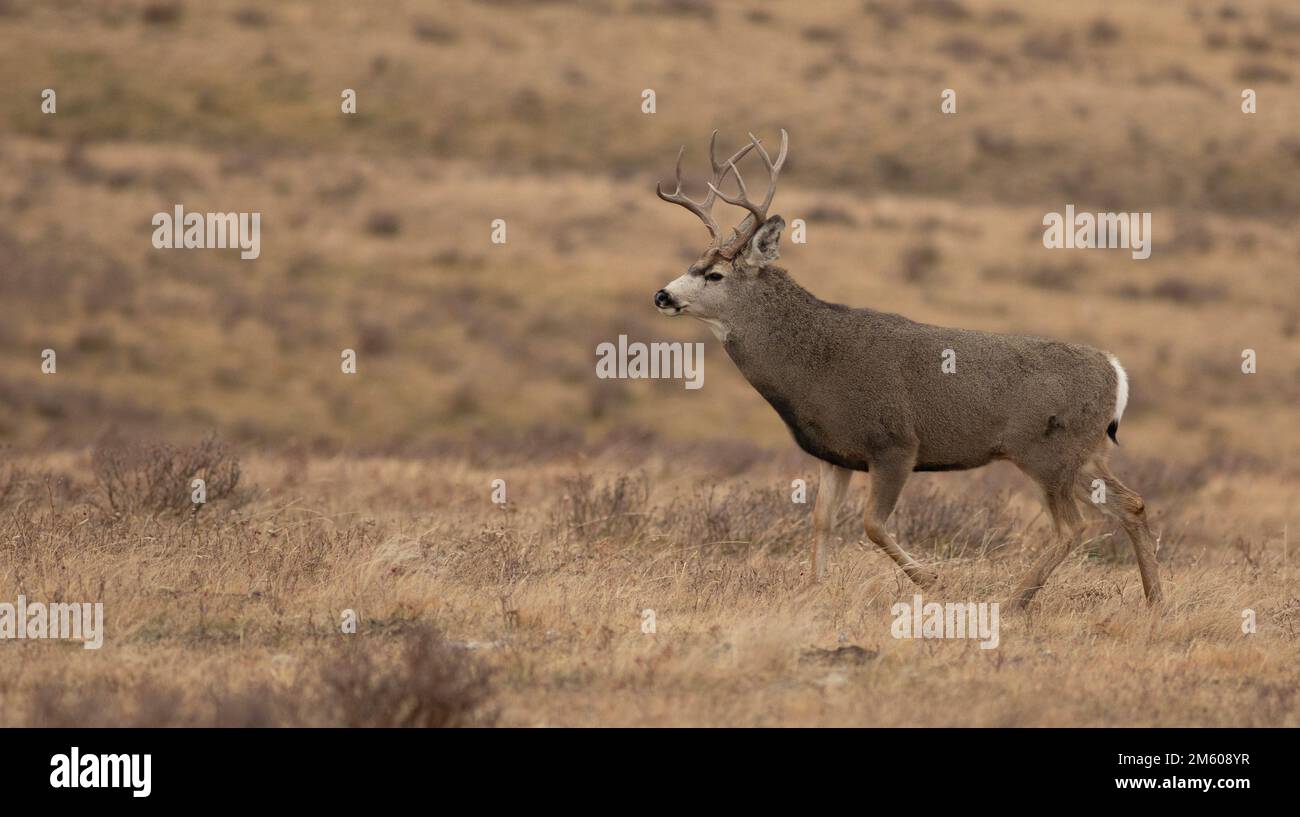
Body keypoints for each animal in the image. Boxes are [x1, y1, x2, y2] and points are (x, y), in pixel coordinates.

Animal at [653, 129, 1163, 609]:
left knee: (1071, 527)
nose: (662, 295)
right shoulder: (835, 453)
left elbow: (872, 524)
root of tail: (1116, 372)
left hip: (1046, 452)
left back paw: (1015, 601)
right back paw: (1154, 601)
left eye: (714, 274)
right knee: (1131, 505)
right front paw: (813, 591)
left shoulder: (895, 442)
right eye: (692, 262)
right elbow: (821, 520)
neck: (812, 365)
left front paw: (933, 580)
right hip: (1084, 452)